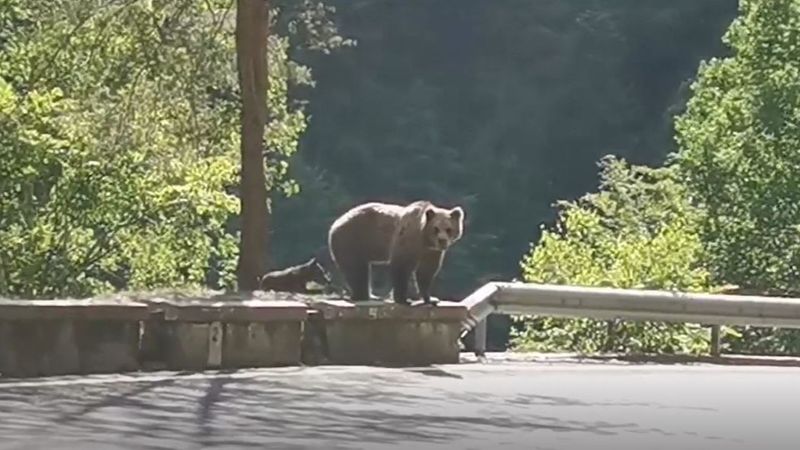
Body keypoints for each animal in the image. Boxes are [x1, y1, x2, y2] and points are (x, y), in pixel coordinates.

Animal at [327, 200, 464, 305]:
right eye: (435, 228)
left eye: (449, 229)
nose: (442, 240)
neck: (424, 240)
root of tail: (337, 222)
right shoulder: (408, 241)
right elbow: (401, 266)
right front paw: (404, 299)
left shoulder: (431, 252)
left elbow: (426, 272)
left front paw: (431, 299)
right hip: (352, 239)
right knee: (356, 269)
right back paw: (362, 295)